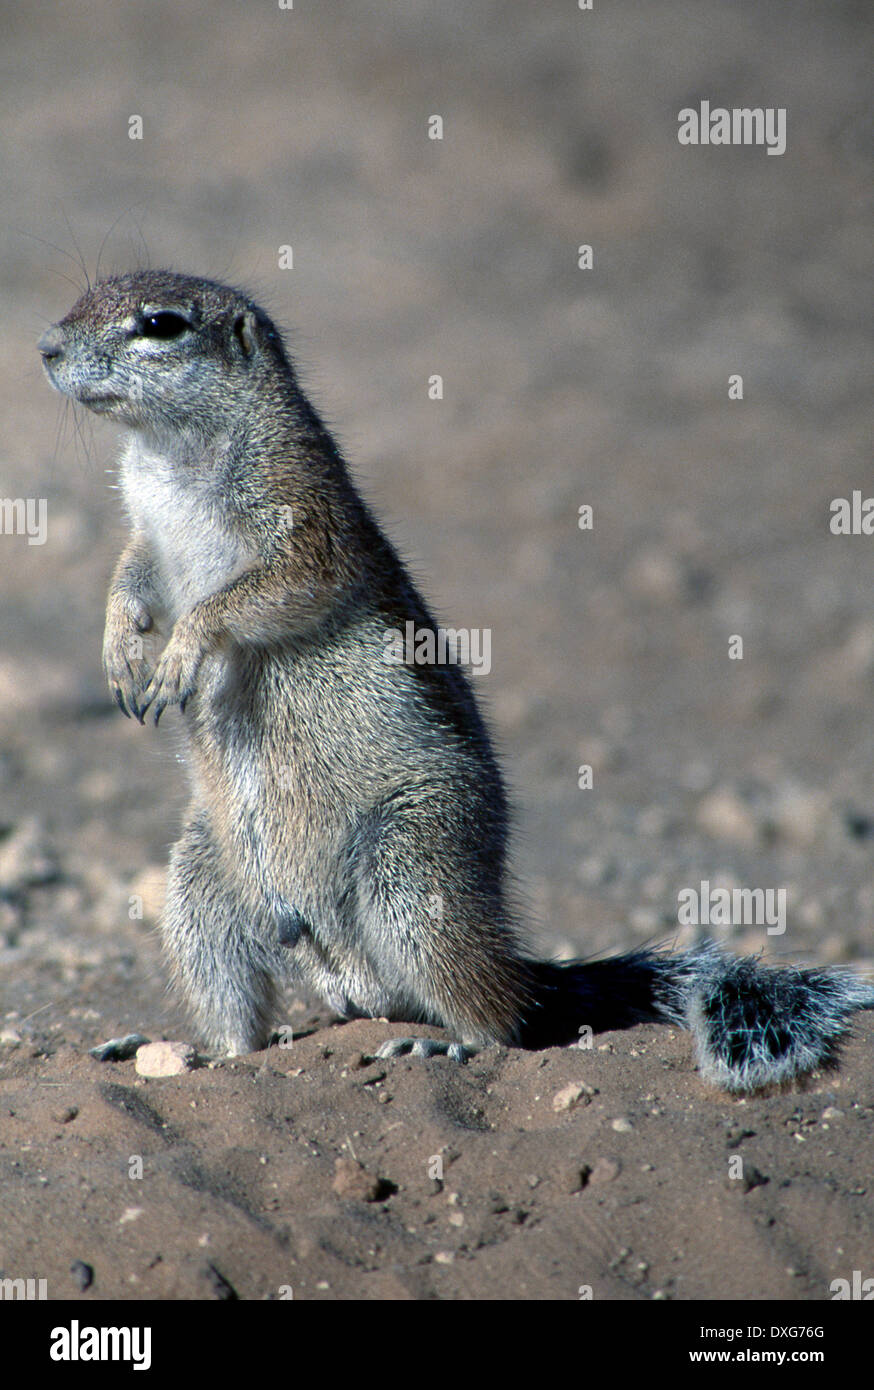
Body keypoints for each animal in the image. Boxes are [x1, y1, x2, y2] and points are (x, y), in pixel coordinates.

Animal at [38, 269, 874, 1091]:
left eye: (162, 323)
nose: (46, 347)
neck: (168, 455)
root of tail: (362, 984)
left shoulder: (303, 516)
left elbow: (258, 594)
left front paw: (183, 649)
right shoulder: (145, 528)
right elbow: (132, 575)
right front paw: (119, 649)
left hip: (414, 870)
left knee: (501, 1018)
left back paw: (444, 1043)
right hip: (202, 881)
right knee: (238, 992)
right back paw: (205, 1052)